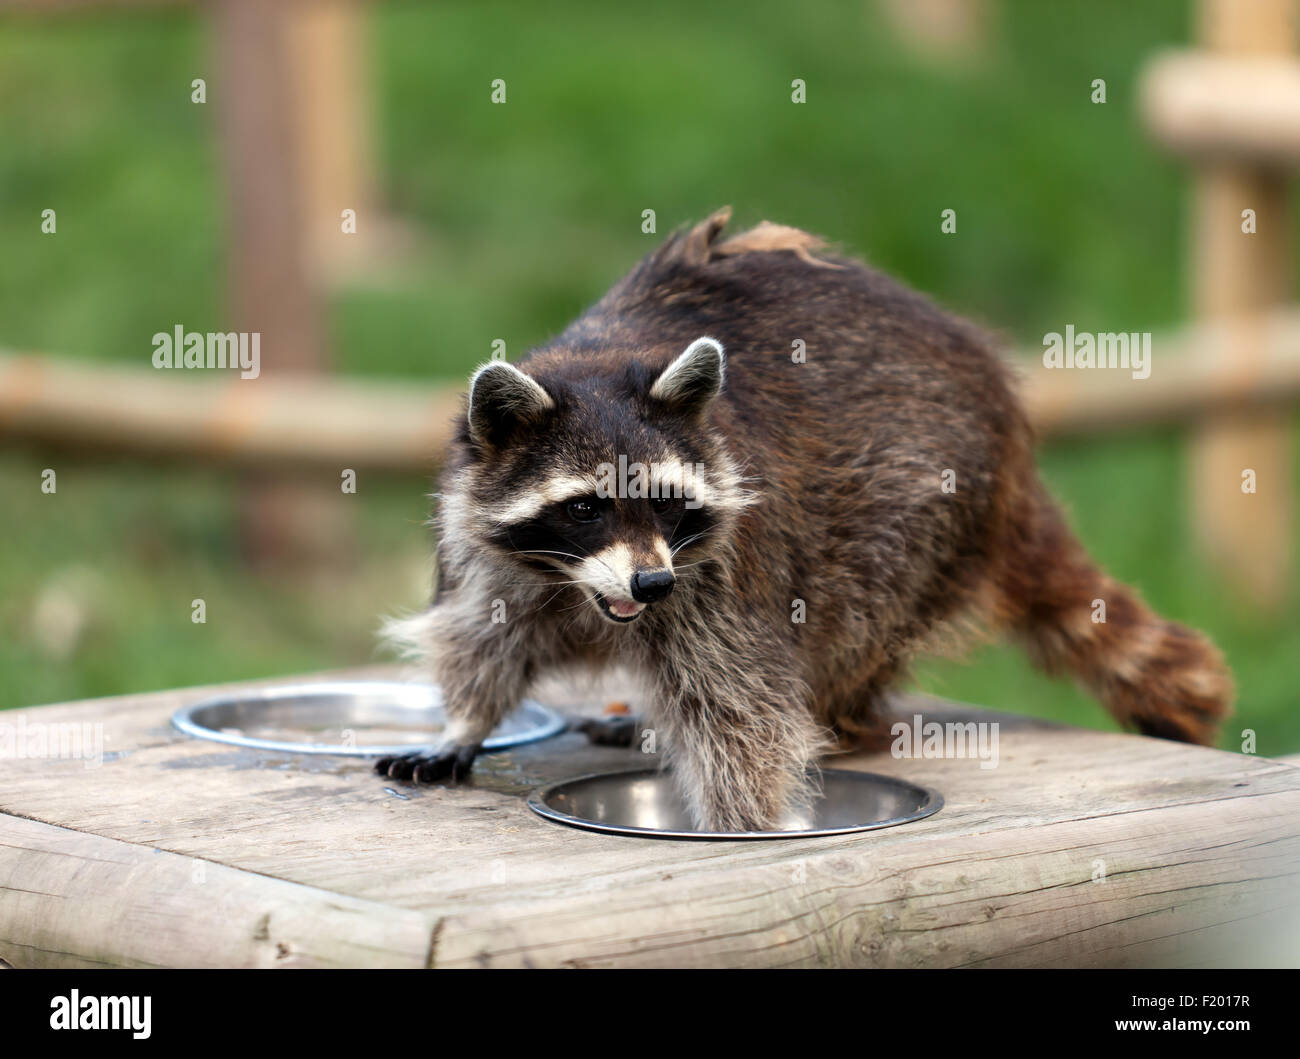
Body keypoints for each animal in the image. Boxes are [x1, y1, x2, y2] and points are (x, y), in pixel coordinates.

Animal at [378, 207, 1233, 831]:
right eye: (585, 506)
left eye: (666, 502)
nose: (651, 583)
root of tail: (1008, 438)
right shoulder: (489, 545)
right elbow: (483, 637)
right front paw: (464, 723)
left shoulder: (719, 573)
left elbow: (741, 711)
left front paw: (745, 820)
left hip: (915, 496)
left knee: (849, 614)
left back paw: (838, 715)